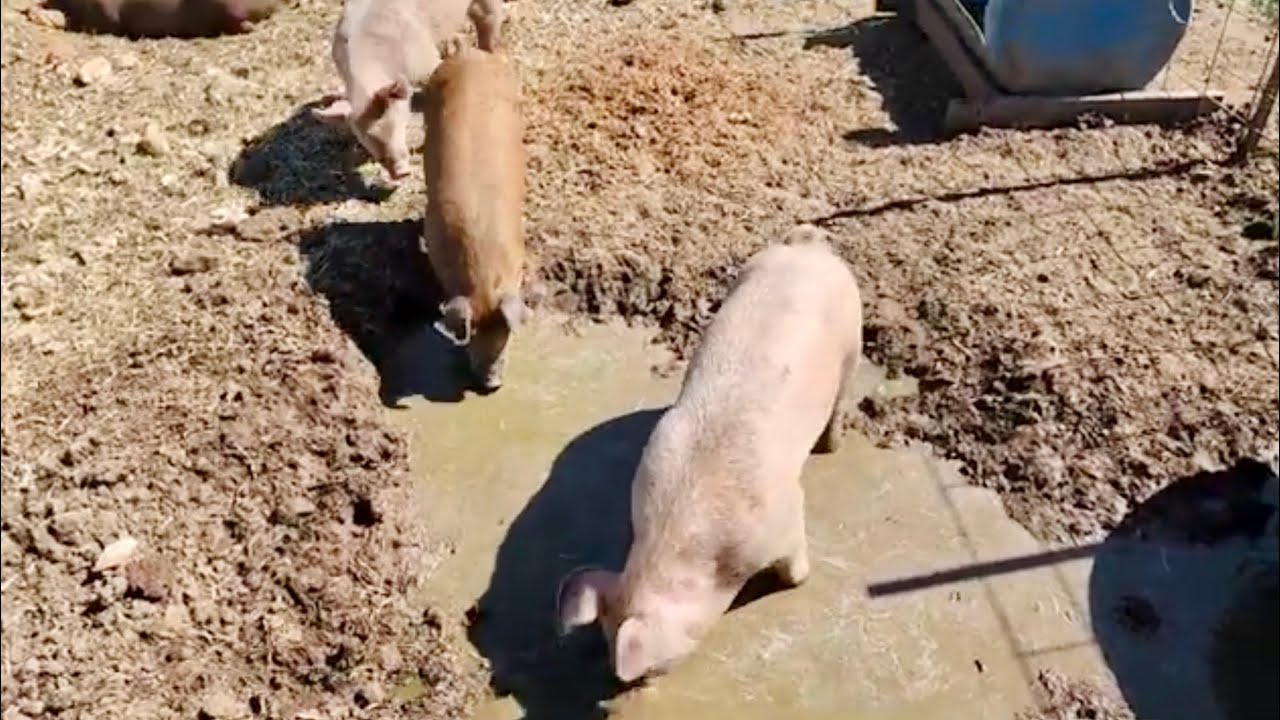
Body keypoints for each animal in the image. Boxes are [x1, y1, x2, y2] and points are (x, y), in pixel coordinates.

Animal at [556, 233, 863, 683]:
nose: (624, 681)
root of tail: (807, 246)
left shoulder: (787, 512)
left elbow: (794, 559)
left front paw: (799, 581)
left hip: (853, 338)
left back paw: (831, 444)